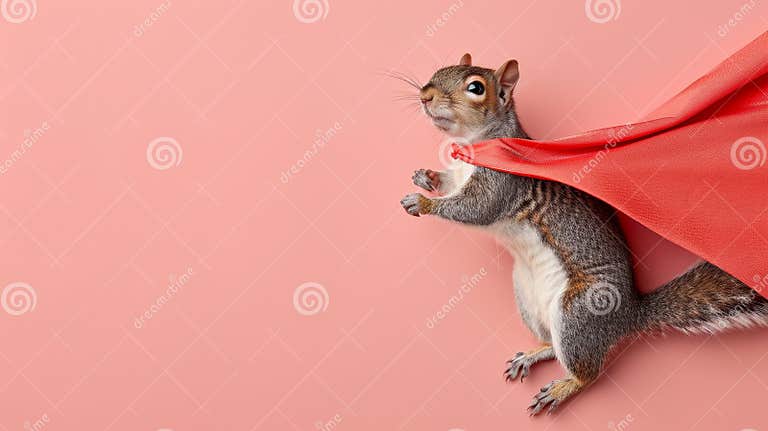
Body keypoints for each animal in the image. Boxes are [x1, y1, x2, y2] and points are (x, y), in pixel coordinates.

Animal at [399, 53, 768, 415]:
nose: (425, 95)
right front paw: (426, 177)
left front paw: (423, 202)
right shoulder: (460, 175)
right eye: (439, 70)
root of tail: (628, 315)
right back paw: (534, 353)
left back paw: (563, 388)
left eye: (475, 88)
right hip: (527, 297)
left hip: (579, 311)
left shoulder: (502, 183)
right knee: (552, 344)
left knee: (588, 371)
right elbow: (449, 183)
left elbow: (476, 208)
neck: (472, 146)